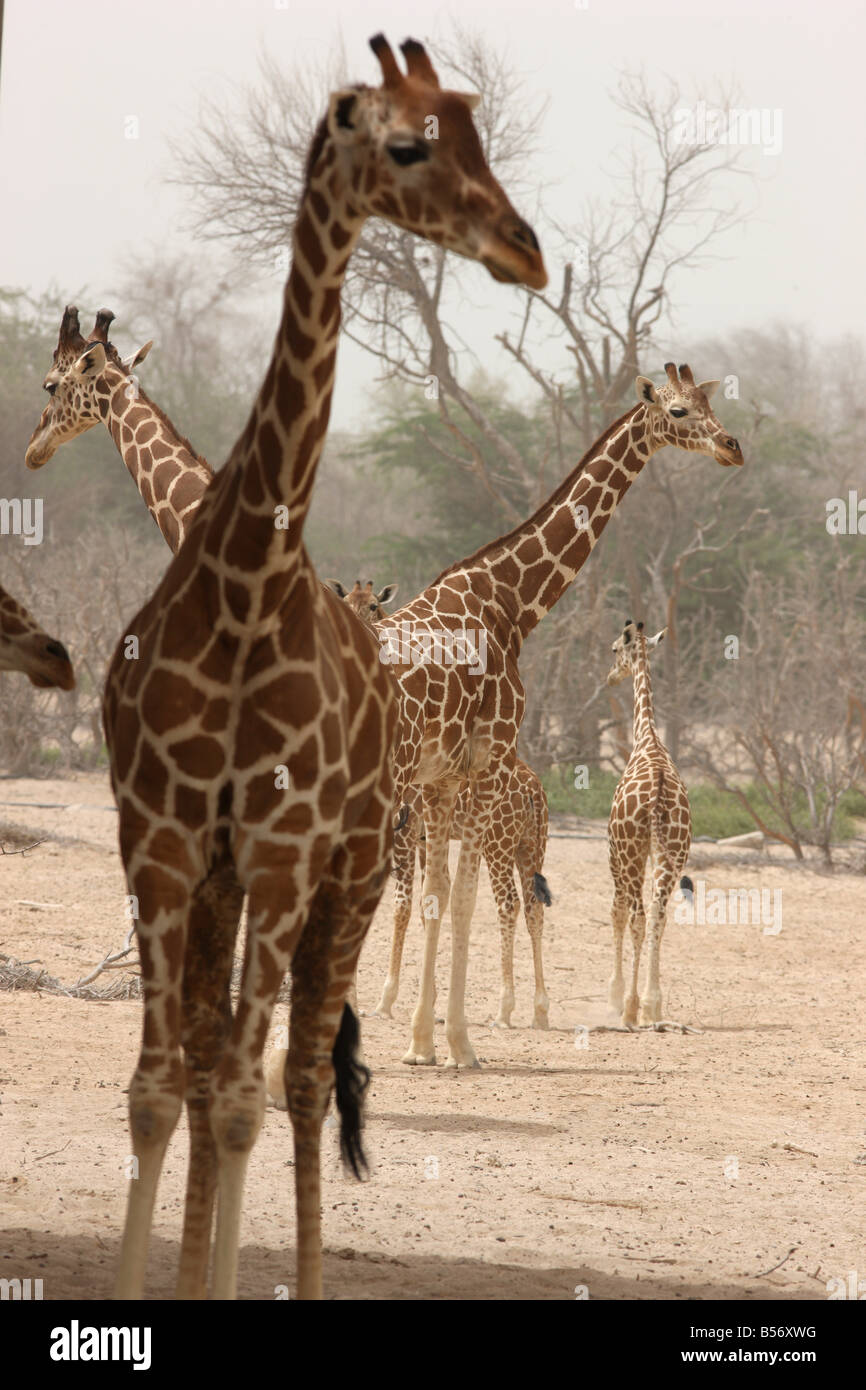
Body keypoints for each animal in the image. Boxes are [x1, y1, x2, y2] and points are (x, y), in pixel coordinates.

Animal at [330, 576, 552, 1029]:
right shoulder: (420, 836)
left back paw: (505, 1008)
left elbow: (401, 907)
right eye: (348, 603)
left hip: (498, 844)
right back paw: (539, 1010)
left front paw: (384, 1001)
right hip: (530, 845)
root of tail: (534, 793)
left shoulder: (403, 832)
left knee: (508, 903)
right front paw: (426, 1005)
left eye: (374, 606)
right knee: (534, 906)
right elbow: (427, 903)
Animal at [378, 361, 742, 1068]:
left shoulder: (442, 780)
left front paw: (422, 1043)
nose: (733, 447)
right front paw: (460, 1044)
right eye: (680, 411)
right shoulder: (485, 763)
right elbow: (465, 901)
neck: (512, 604)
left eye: (710, 403)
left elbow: (440, 897)